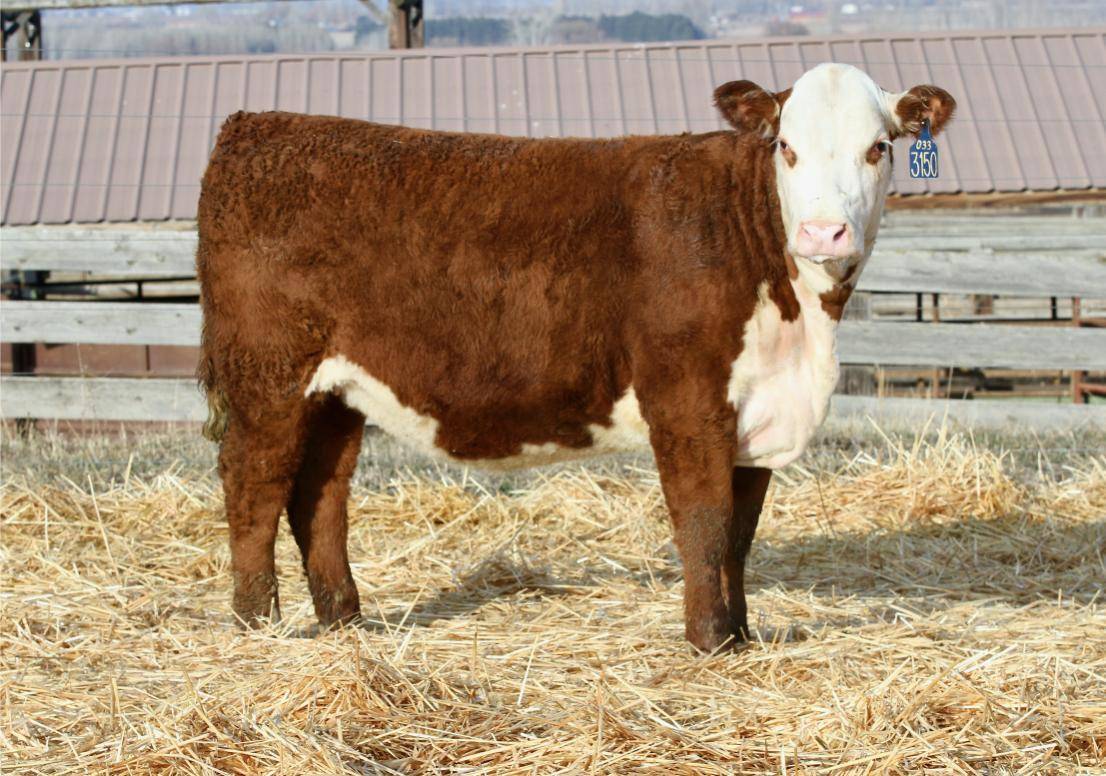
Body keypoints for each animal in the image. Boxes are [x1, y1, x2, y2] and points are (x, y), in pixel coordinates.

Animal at [196, 63, 954, 652]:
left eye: (879, 147)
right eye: (786, 146)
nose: (823, 232)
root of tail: (250, 127)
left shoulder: (756, 409)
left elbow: (740, 534)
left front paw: (741, 636)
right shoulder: (687, 400)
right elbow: (704, 523)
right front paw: (709, 641)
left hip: (335, 393)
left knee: (319, 495)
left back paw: (345, 622)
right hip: (268, 377)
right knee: (253, 485)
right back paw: (256, 625)